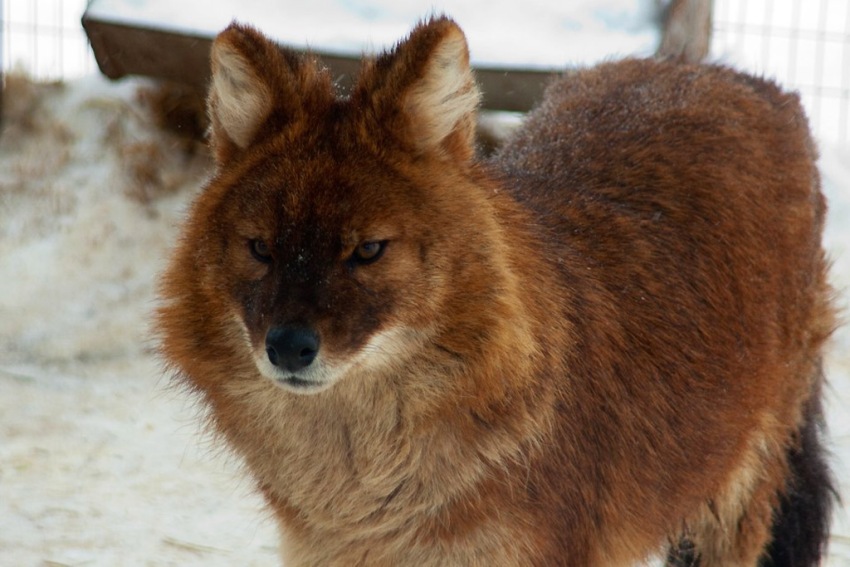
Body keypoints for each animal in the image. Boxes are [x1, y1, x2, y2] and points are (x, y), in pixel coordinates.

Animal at [156, 16, 835, 566]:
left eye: (368, 250)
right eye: (260, 248)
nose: (289, 347)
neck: (370, 494)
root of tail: (734, 75)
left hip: (733, 498)